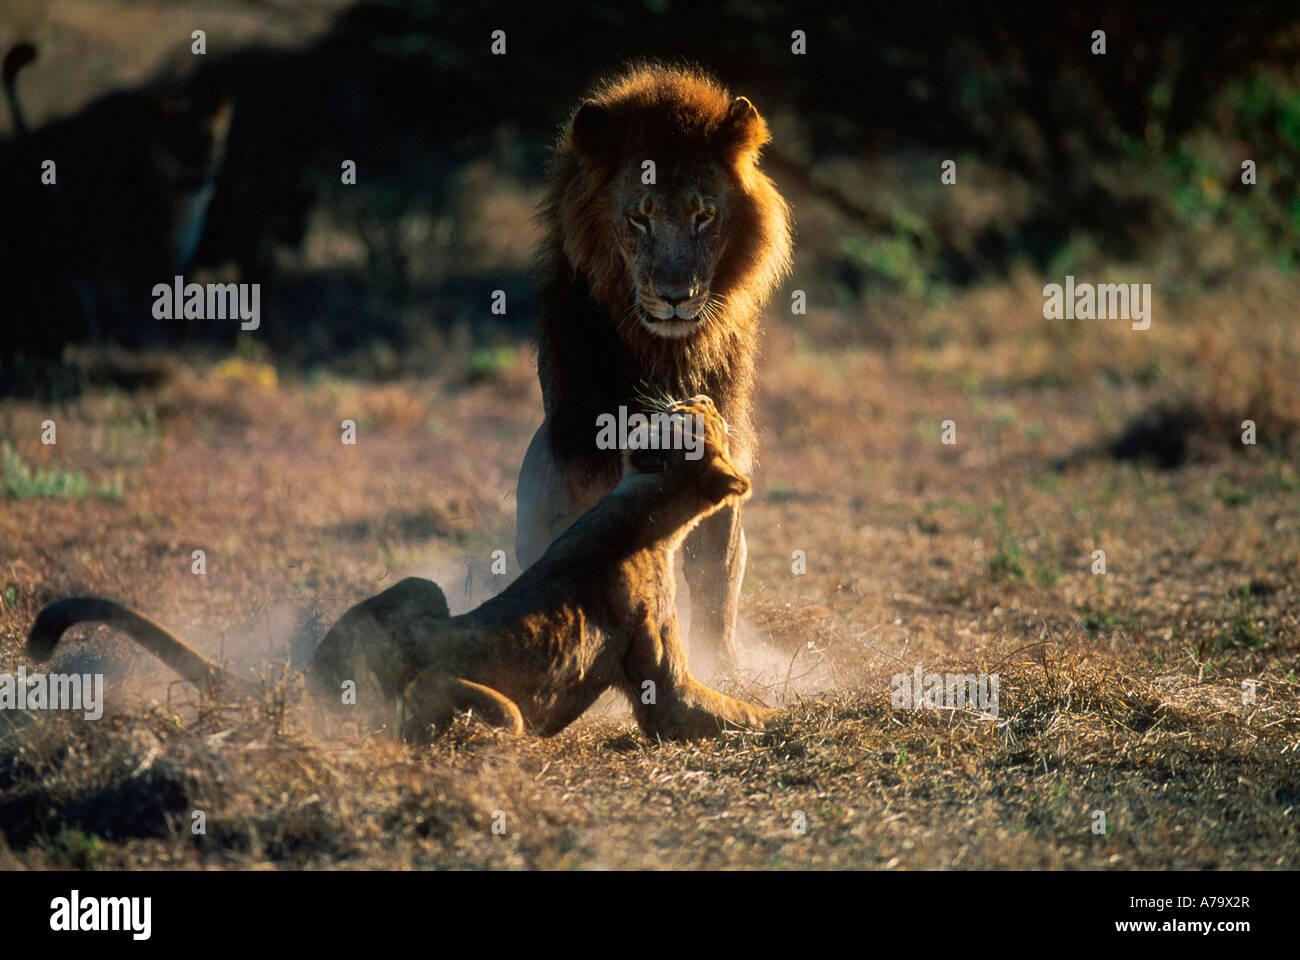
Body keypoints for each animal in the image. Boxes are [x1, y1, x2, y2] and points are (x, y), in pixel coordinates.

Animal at [28, 397, 774, 742]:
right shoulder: (659, 678)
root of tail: (313, 675)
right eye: (699, 418)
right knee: (468, 718)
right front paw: (786, 719)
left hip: (424, 586)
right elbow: (712, 709)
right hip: (481, 704)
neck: (641, 505)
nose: (695, 399)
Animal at [517, 63, 793, 668]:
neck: (664, 351)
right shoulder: (578, 451)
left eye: (704, 216)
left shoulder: (724, 442)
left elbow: (715, 571)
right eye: (639, 219)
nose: (674, 297)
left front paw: (723, 666)